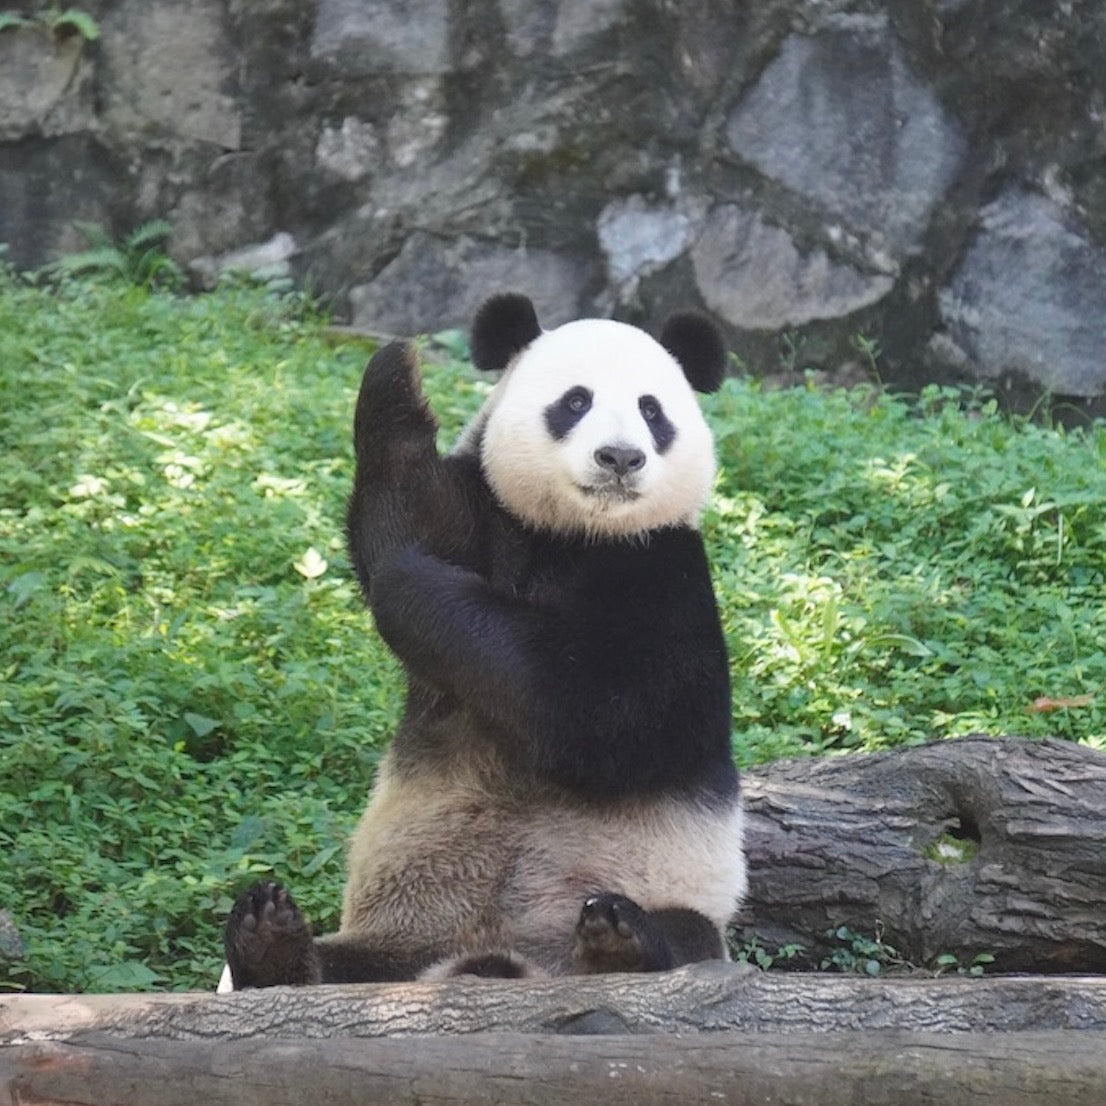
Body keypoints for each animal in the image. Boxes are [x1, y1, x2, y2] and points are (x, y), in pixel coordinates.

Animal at [223, 293, 746, 987]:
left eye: (651, 410)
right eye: (575, 401)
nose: (620, 458)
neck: (572, 534)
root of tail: (496, 960)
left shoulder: (664, 569)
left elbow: (617, 713)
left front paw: (411, 586)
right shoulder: (485, 514)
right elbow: (400, 515)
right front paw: (398, 368)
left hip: (666, 899)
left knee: (682, 934)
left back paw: (619, 943)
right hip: (401, 935)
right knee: (341, 963)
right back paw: (272, 941)